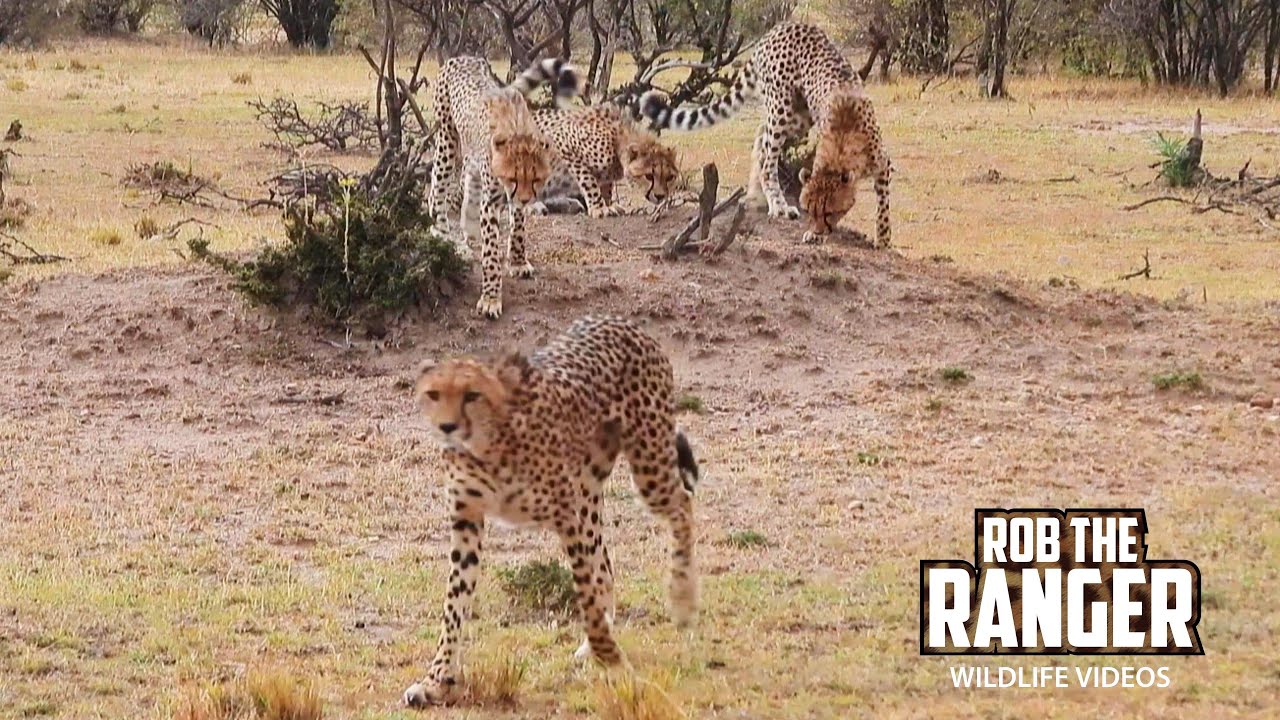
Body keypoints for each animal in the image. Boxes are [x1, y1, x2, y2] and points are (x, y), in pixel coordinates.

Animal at [403, 315, 700, 707]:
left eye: (472, 395)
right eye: (433, 394)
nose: (447, 426)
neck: (487, 444)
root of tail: (617, 320)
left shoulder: (566, 516)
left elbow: (585, 596)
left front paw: (612, 658)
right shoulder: (467, 519)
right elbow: (454, 604)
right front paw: (437, 679)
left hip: (647, 466)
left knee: (682, 505)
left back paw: (681, 599)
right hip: (588, 491)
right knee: (604, 561)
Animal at [430, 56, 580, 320]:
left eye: (536, 179)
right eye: (513, 179)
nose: (525, 199)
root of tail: (462, 57)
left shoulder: (515, 200)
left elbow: (518, 229)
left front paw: (518, 262)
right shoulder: (492, 201)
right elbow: (490, 254)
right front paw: (491, 298)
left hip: (470, 157)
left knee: (469, 186)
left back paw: (470, 230)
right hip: (446, 140)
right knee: (437, 183)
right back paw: (442, 231)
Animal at [640, 21, 892, 247]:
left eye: (830, 212)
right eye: (810, 211)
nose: (818, 229)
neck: (843, 138)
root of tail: (778, 28)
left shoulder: (883, 165)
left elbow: (884, 207)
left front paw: (883, 240)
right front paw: (815, 235)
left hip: (799, 116)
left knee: (762, 138)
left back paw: (758, 195)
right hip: (782, 108)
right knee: (768, 156)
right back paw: (778, 205)